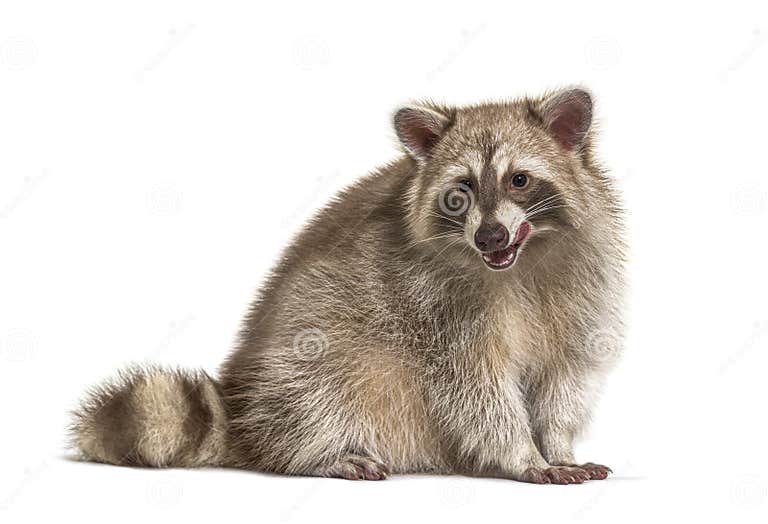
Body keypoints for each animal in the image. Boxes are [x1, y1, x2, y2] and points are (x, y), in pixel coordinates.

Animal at [71, 88, 625, 484]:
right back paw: (317, 453)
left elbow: (563, 377)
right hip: (310, 353)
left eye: (519, 180)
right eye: (461, 191)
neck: (515, 264)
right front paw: (522, 455)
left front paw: (556, 444)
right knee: (320, 387)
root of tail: (243, 411)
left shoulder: (581, 286)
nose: (490, 235)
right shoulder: (438, 306)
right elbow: (474, 390)